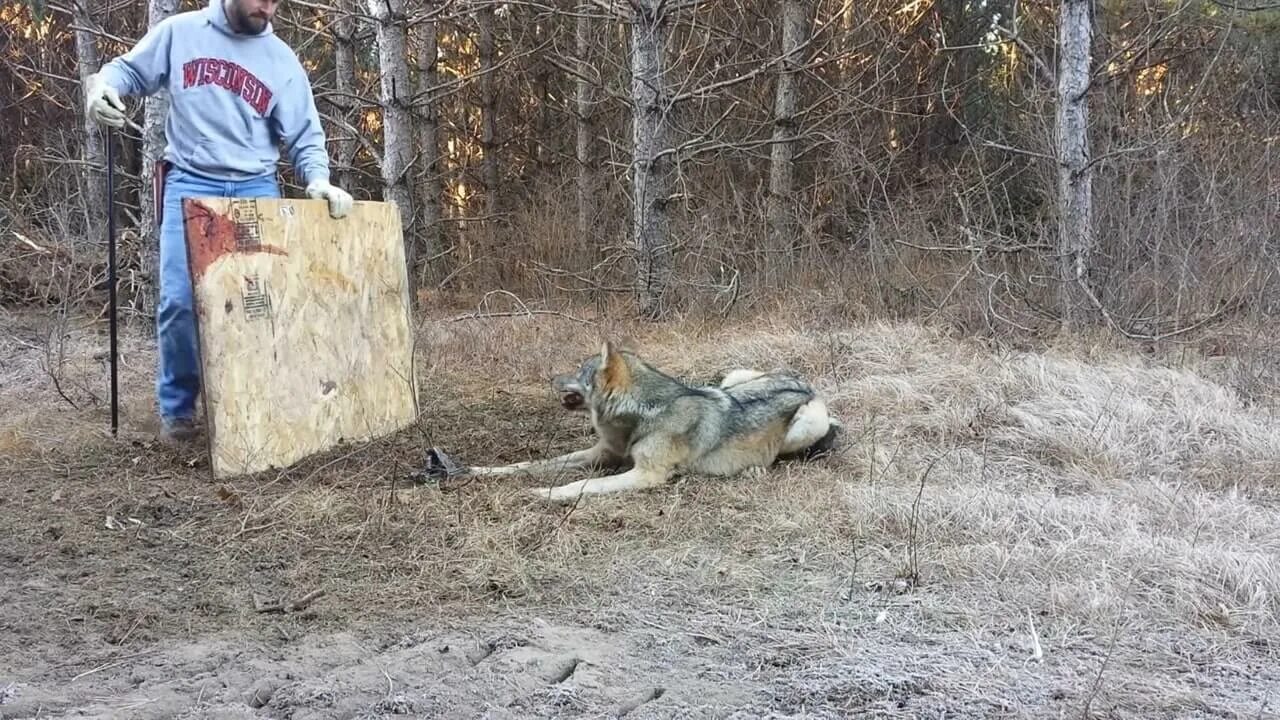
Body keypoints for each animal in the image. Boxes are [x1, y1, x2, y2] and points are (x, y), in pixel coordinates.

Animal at [435, 340, 844, 504]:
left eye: (579, 373)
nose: (550, 378)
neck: (642, 414)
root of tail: (805, 382)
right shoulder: (600, 454)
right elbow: (529, 464)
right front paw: (476, 471)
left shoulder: (645, 474)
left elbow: (582, 485)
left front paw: (547, 494)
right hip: (732, 377)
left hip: (804, 426)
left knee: (786, 456)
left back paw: (754, 471)